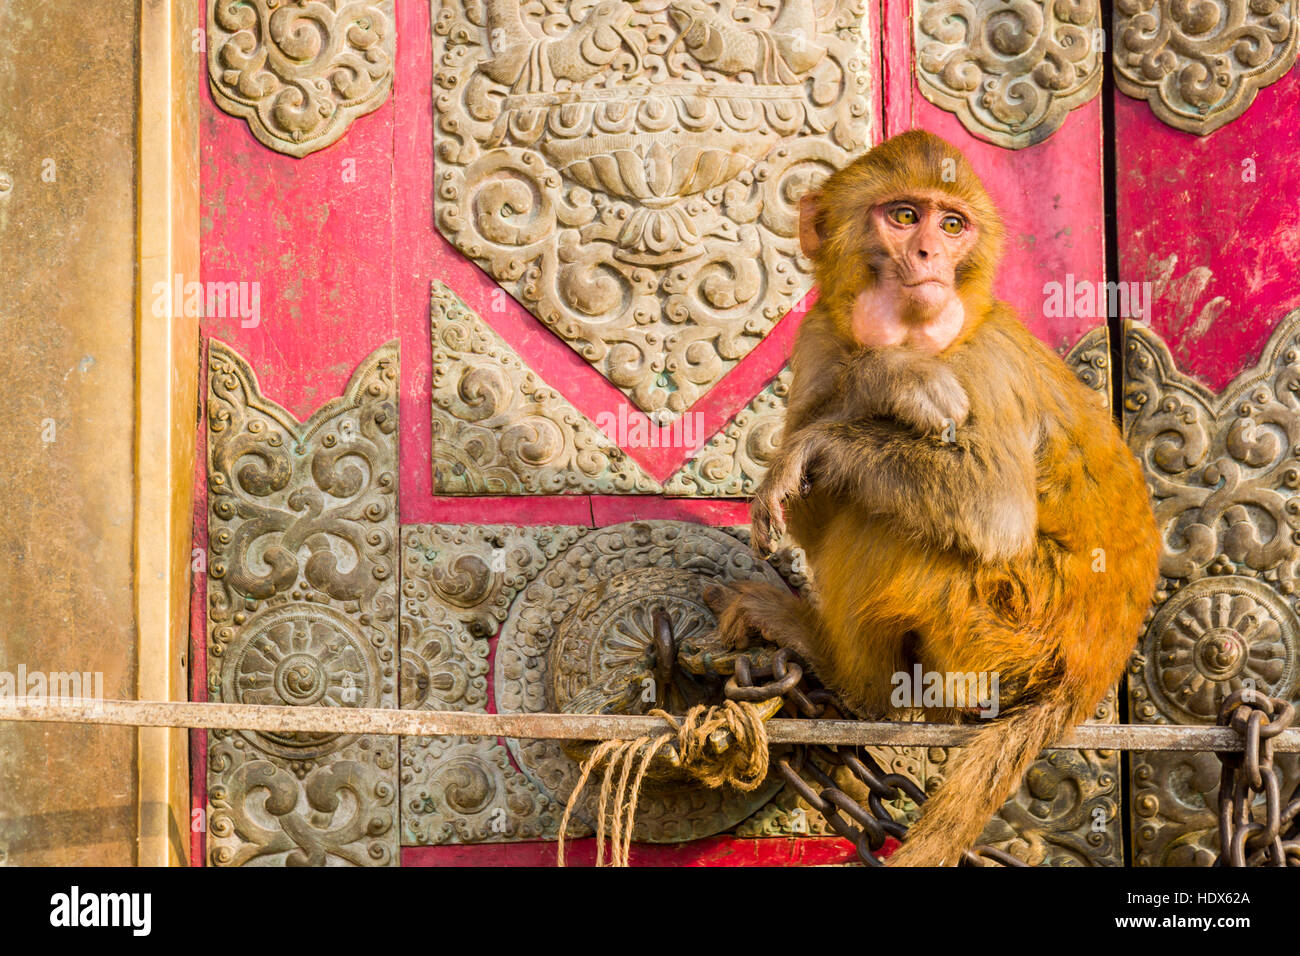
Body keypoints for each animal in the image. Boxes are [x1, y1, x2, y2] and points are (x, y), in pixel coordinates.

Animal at [709, 130, 1161, 867]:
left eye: (951, 226)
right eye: (903, 217)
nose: (928, 258)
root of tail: (1090, 669)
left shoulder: (979, 368)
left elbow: (994, 510)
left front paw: (885, 385)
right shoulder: (817, 339)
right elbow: (805, 496)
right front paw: (883, 381)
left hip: (1008, 627)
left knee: (890, 523)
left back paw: (852, 679)